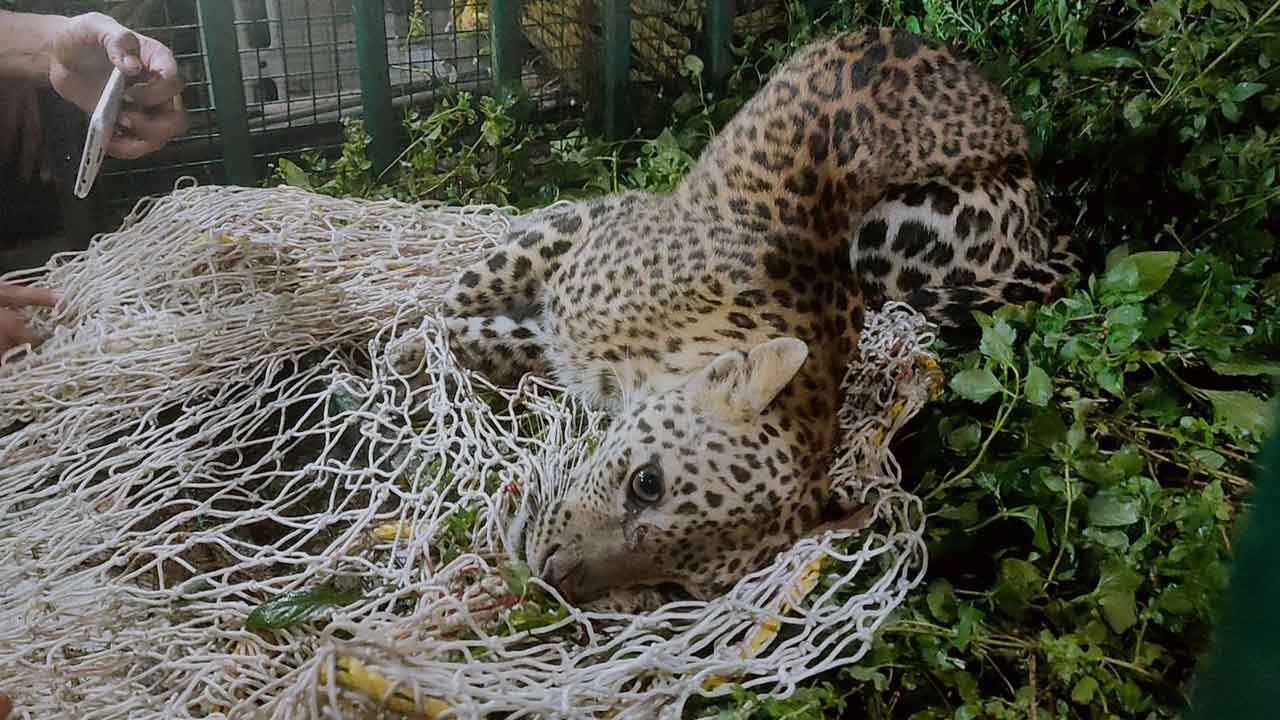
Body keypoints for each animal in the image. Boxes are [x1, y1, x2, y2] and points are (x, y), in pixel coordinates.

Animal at [407, 27, 1080, 611]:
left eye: (674, 586)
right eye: (646, 483)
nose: (551, 576)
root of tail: (1045, 214)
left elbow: (510, 338)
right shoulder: (592, 222)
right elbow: (468, 290)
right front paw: (414, 340)